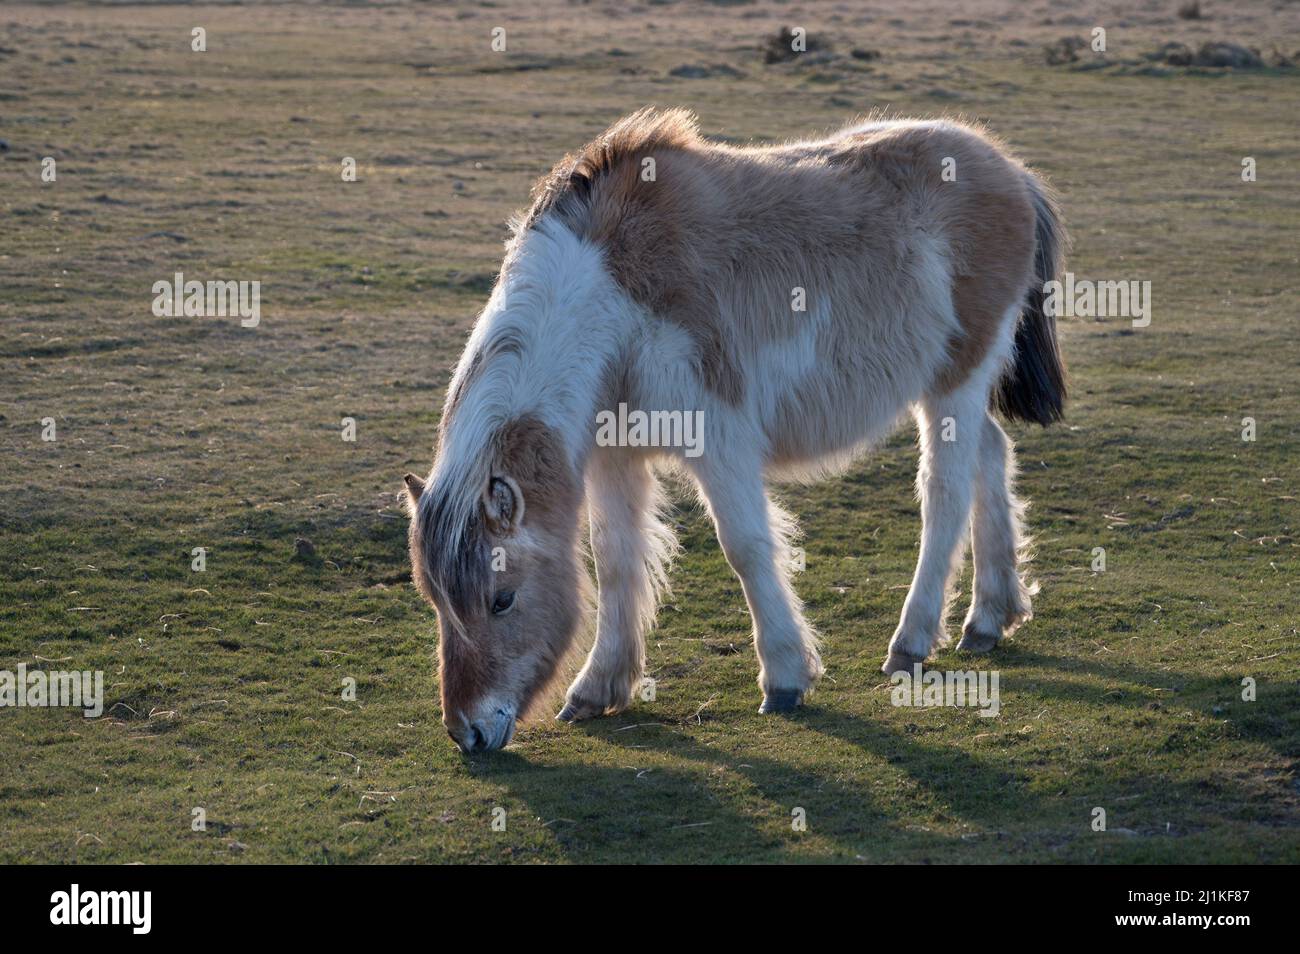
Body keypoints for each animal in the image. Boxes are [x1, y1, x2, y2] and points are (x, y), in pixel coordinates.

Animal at [403, 108, 1066, 752]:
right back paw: (990, 618)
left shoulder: (717, 439)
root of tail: (1012, 172)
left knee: (945, 494)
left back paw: (913, 641)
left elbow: (744, 547)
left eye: (502, 598)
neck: (611, 292)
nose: (467, 733)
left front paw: (786, 677)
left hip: (956, 381)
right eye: (437, 599)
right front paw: (598, 688)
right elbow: (616, 558)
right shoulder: (614, 455)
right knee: (992, 457)